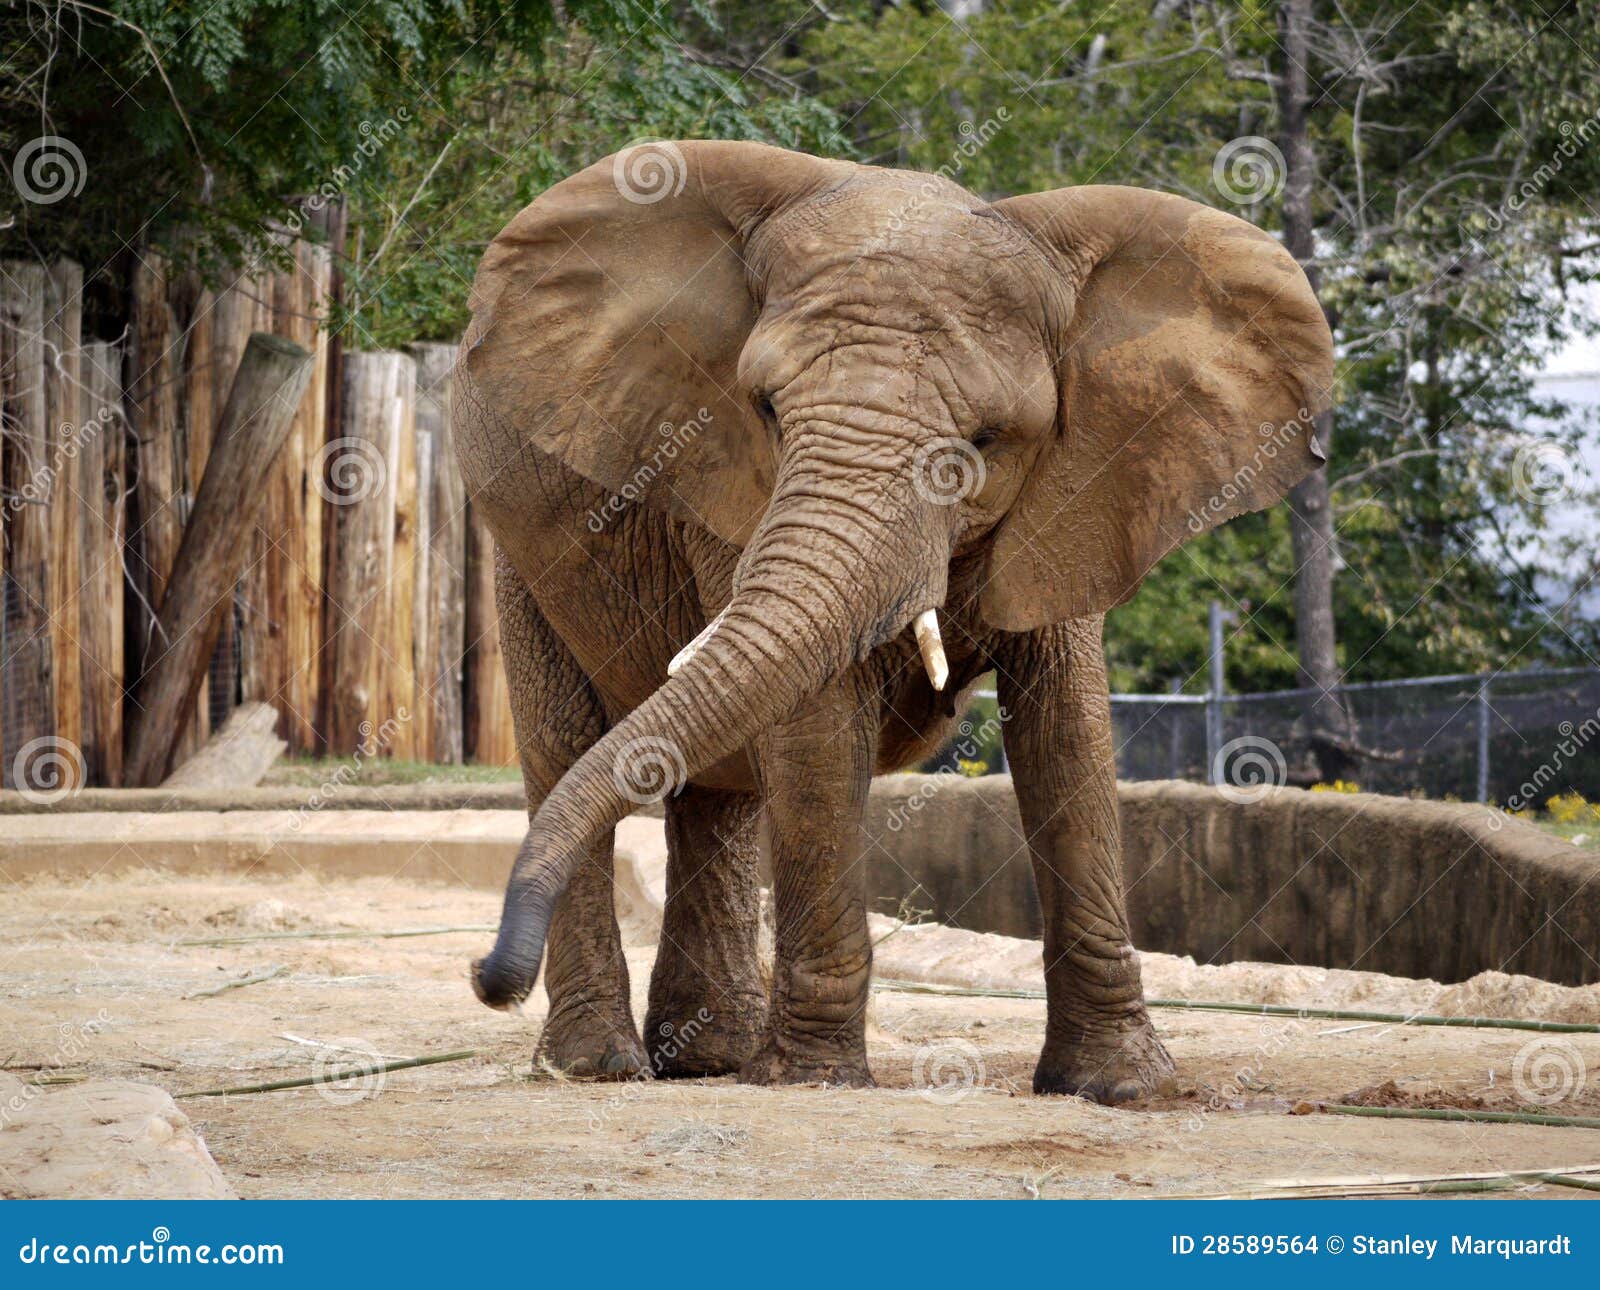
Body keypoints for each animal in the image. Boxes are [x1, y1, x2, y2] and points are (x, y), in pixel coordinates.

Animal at [455, 139, 1332, 1102]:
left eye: (987, 441)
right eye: (765, 408)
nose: (485, 978)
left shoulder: (1080, 488)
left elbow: (1069, 730)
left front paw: (1123, 1087)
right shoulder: (722, 478)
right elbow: (816, 726)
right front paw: (815, 1081)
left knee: (715, 787)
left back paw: (707, 1058)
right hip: (518, 541)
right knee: (567, 741)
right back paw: (600, 1068)